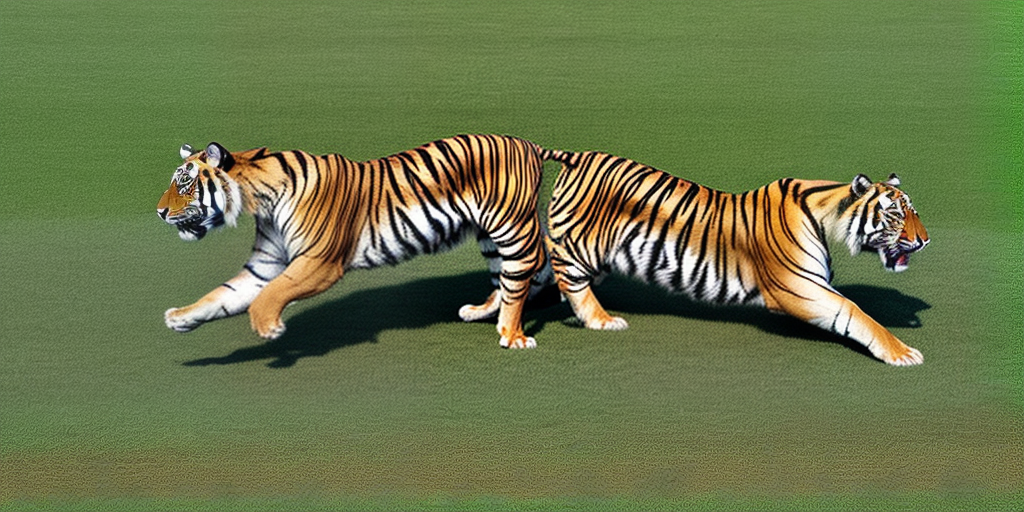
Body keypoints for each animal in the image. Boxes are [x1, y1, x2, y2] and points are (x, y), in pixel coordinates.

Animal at [156, 134, 550, 349]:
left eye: (184, 183)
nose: (159, 211)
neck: (260, 201)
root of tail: (529, 144)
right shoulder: (264, 265)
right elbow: (221, 296)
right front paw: (180, 318)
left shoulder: (319, 262)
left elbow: (273, 293)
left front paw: (268, 326)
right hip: (490, 235)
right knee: (514, 275)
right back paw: (481, 312)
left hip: (510, 226)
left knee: (521, 272)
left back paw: (512, 334)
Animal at [541, 149, 930, 366]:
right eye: (896, 214)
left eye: (914, 211)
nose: (925, 241)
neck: (826, 219)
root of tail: (577, 156)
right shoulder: (799, 288)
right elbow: (856, 314)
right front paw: (903, 353)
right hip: (581, 246)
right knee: (563, 272)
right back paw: (601, 320)